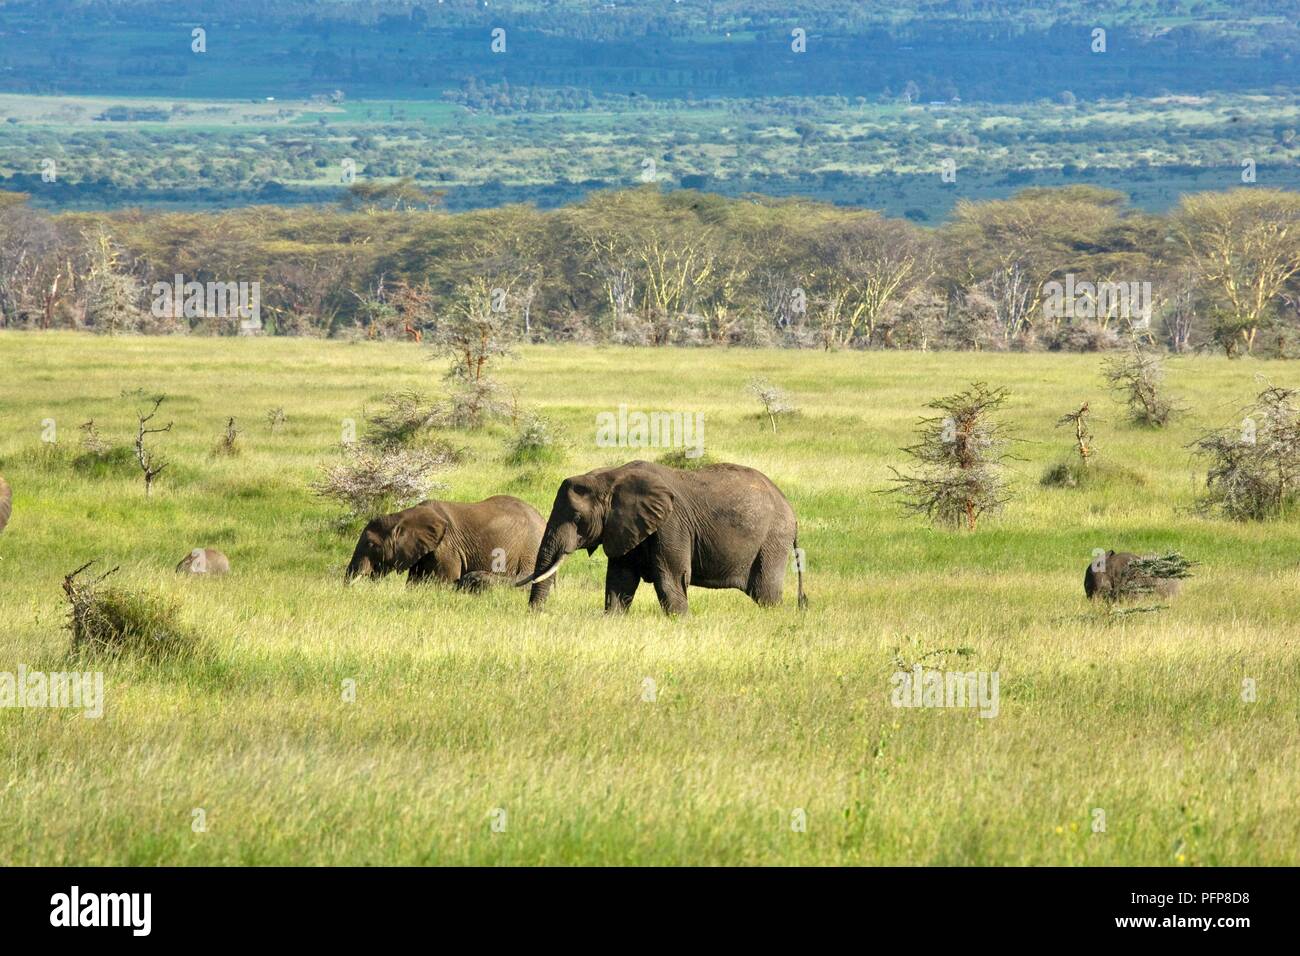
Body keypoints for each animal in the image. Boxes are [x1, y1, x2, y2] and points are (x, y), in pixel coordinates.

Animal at [345, 495, 549, 593]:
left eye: (372, 545)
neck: (404, 516)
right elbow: (414, 582)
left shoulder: (447, 548)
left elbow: (443, 583)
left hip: (531, 547)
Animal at [519, 459, 805, 616]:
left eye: (577, 518)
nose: (536, 615)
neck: (611, 477)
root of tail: (791, 511)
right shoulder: (626, 527)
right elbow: (620, 581)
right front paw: (613, 619)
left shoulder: (671, 524)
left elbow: (670, 579)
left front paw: (683, 623)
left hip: (773, 538)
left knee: (765, 592)